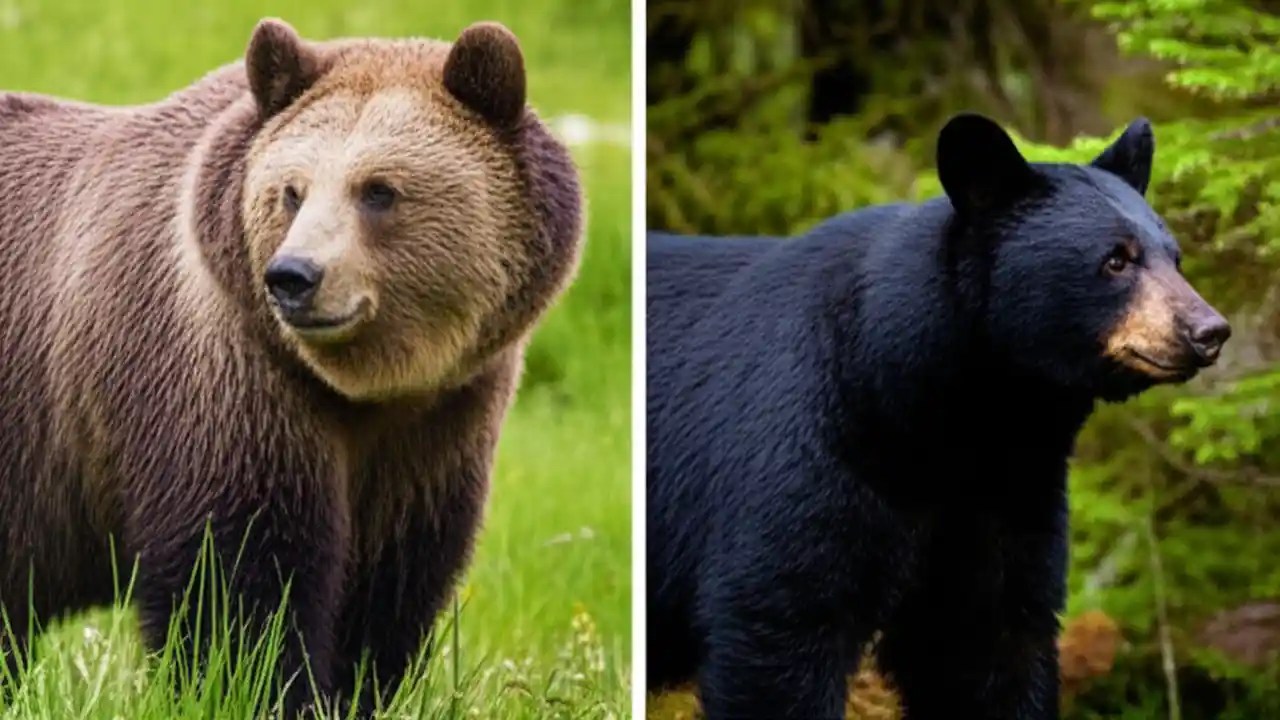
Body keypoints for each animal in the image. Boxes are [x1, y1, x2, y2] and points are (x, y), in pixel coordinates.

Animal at [0, 17, 581, 716]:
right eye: (291, 191)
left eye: (378, 190)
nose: (293, 276)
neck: (364, 389)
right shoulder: (226, 377)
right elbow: (243, 579)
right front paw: (259, 688)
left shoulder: (441, 421)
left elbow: (389, 584)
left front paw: (354, 687)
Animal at [646, 114, 1229, 720]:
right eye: (1116, 259)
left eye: (1175, 257)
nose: (1208, 330)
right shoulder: (801, 448)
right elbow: (782, 625)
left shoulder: (1002, 497)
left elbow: (987, 645)